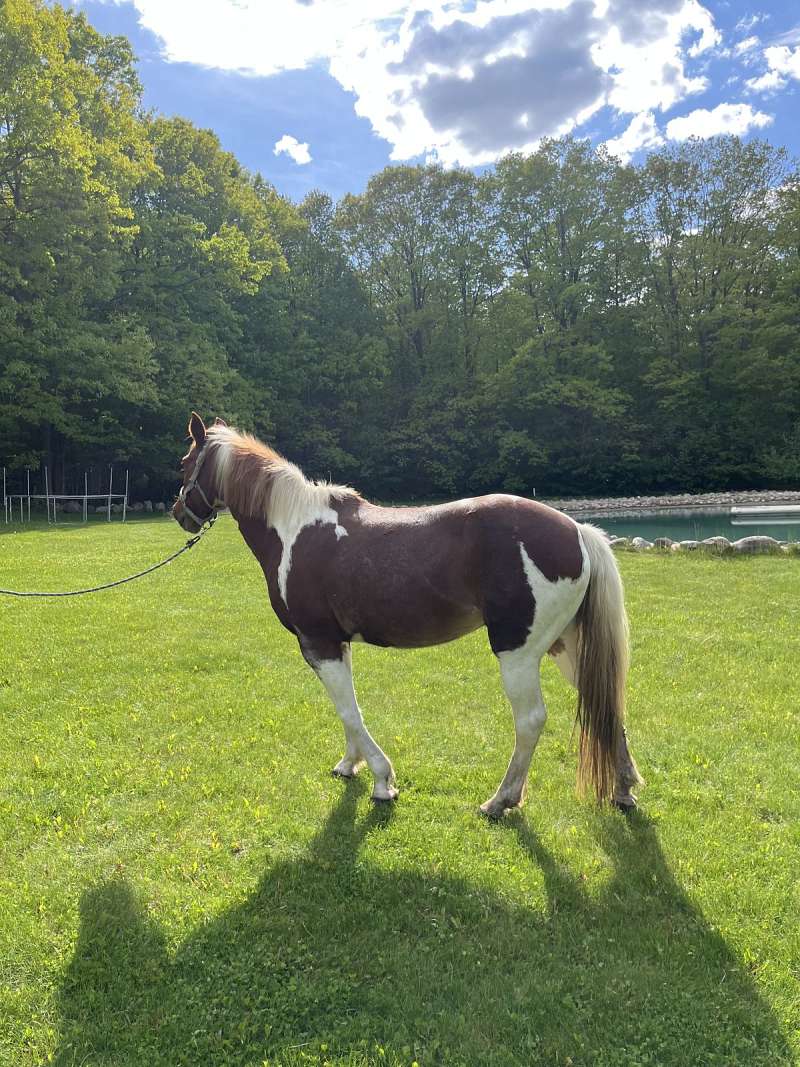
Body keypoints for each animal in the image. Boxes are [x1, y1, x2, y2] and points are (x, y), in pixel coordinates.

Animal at [174, 412, 642, 817]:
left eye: (184, 463)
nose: (180, 515)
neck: (293, 528)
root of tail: (577, 530)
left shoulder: (318, 643)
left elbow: (350, 710)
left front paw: (383, 781)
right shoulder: (336, 645)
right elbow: (347, 709)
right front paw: (350, 764)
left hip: (519, 652)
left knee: (530, 721)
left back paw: (500, 801)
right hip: (567, 645)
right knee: (605, 705)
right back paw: (622, 789)